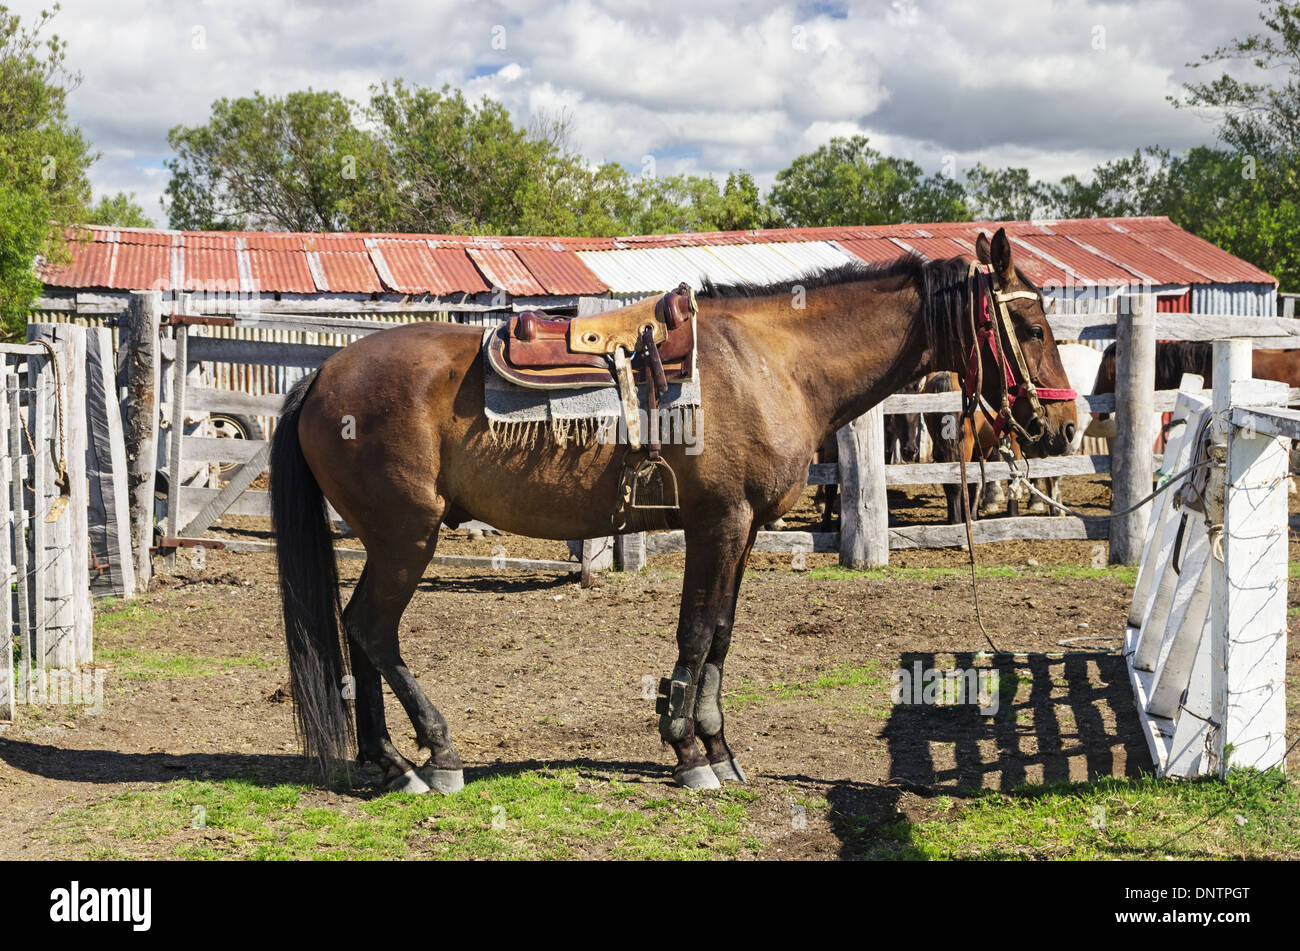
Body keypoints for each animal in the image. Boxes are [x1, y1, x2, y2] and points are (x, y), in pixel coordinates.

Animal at [269, 228, 1078, 792]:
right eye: (1034, 329)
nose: (1063, 428)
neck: (772, 363)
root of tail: (322, 376)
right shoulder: (717, 524)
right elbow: (696, 633)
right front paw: (691, 752)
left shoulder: (741, 530)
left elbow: (717, 636)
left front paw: (715, 744)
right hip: (406, 537)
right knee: (372, 627)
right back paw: (432, 754)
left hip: (393, 542)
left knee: (361, 631)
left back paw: (389, 760)